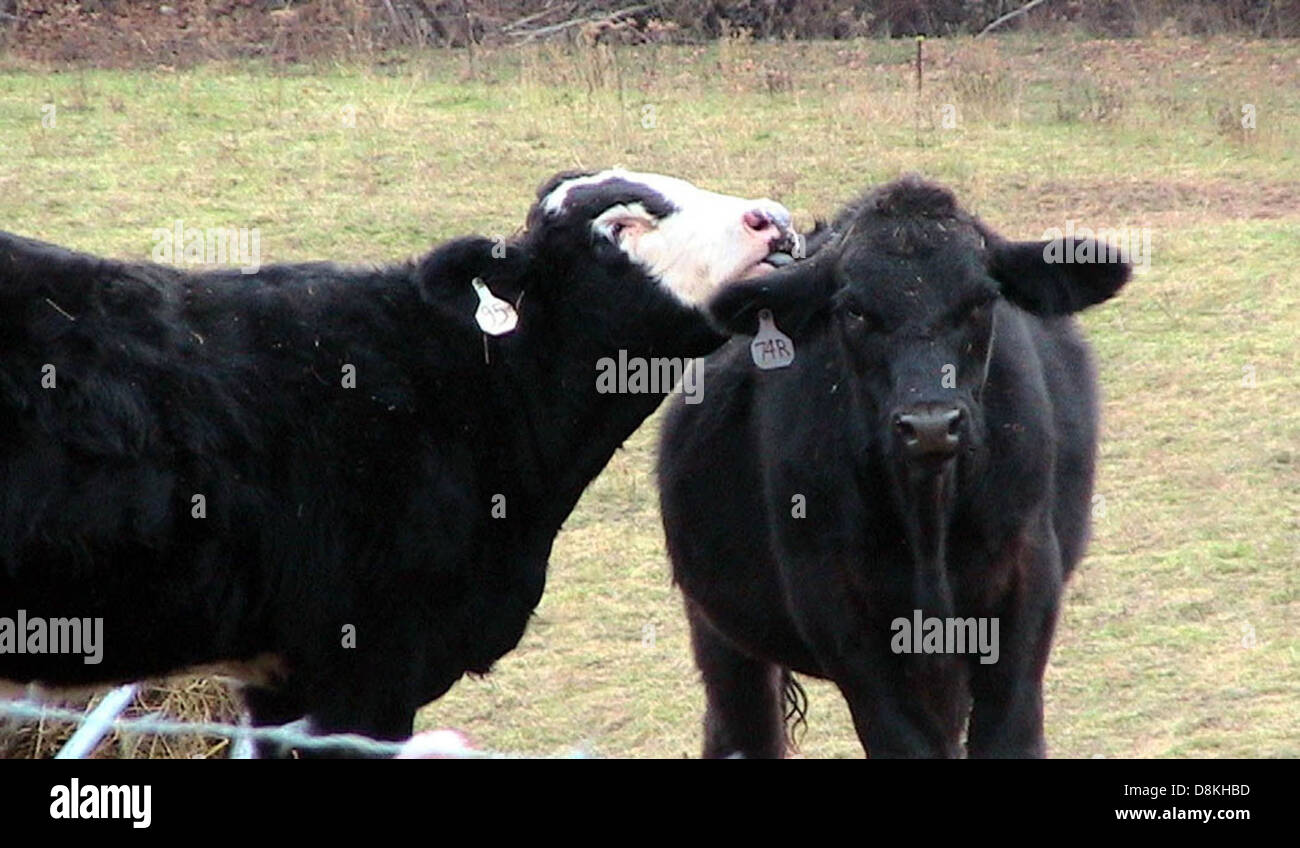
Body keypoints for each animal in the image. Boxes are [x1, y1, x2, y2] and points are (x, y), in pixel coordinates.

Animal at [658, 175, 1131, 758]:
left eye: (982, 299)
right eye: (854, 310)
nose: (930, 423)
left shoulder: (1026, 586)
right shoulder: (844, 620)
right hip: (722, 637)